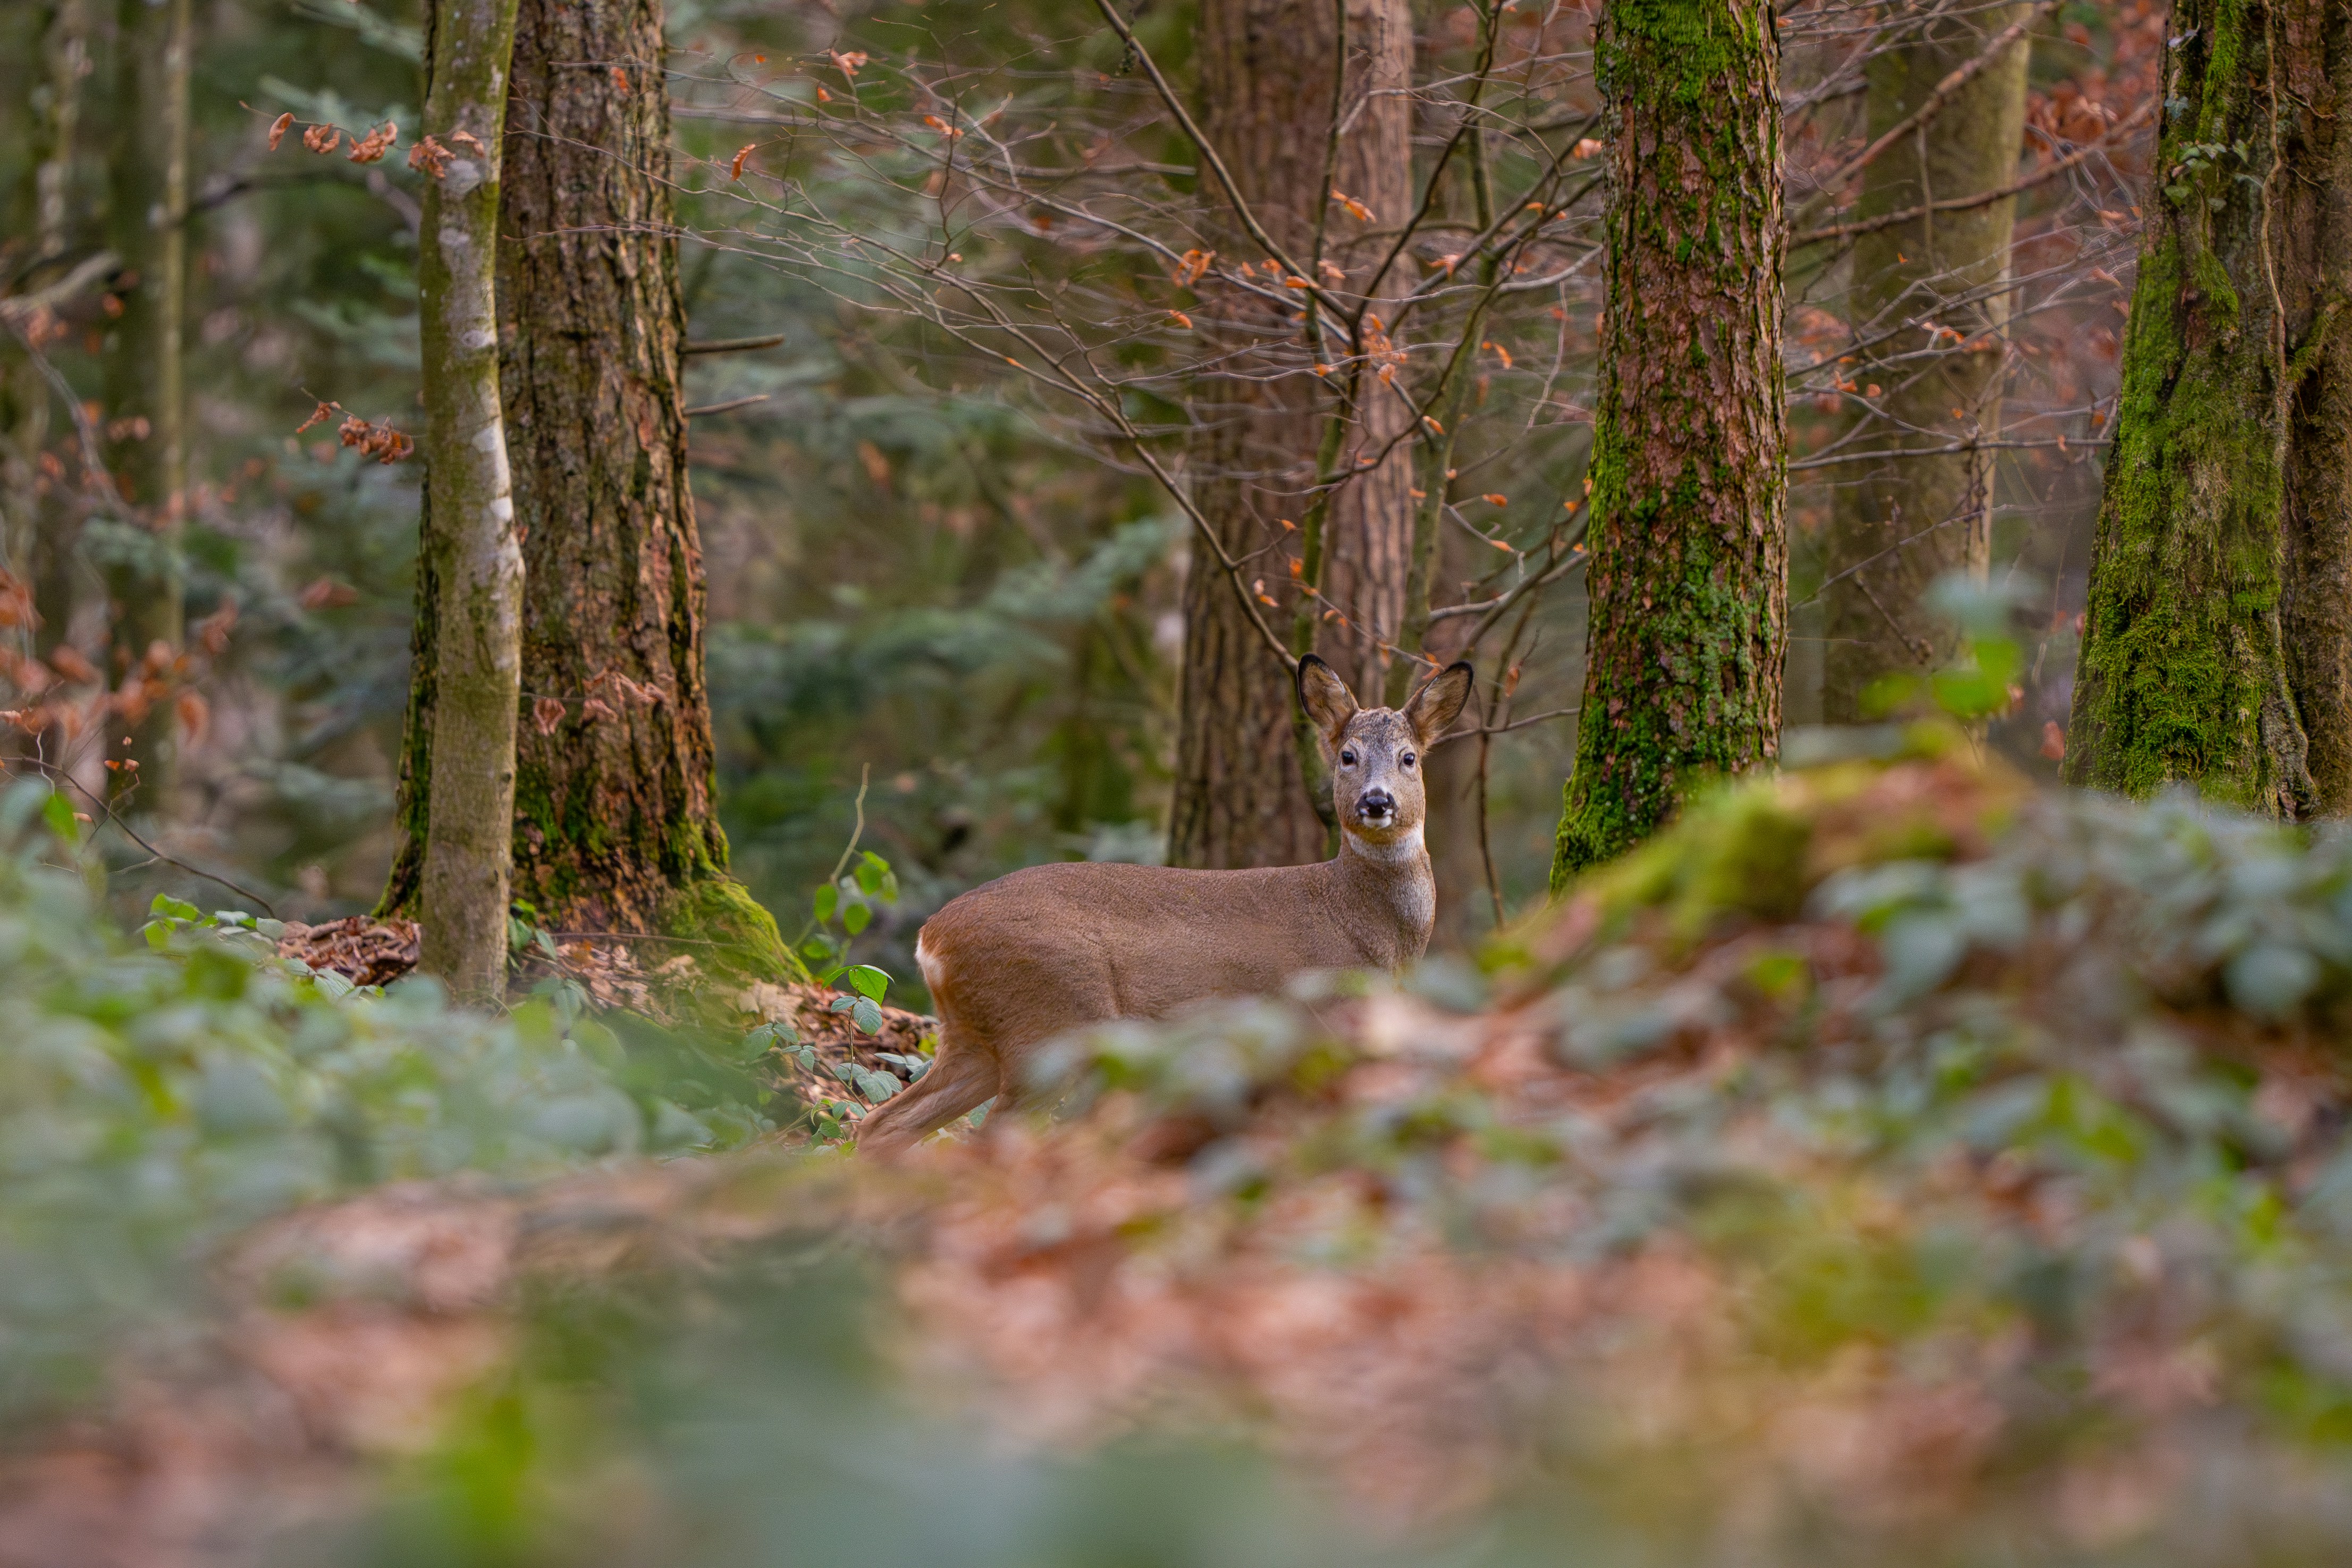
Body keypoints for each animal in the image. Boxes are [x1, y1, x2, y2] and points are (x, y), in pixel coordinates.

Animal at [854, 655, 1474, 1158]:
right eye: (1347, 755)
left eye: (1409, 758)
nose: (1376, 801)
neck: (1363, 924)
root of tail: (931, 939)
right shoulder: (1318, 1015)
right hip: (1050, 1024)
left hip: (974, 1038)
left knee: (883, 1124)